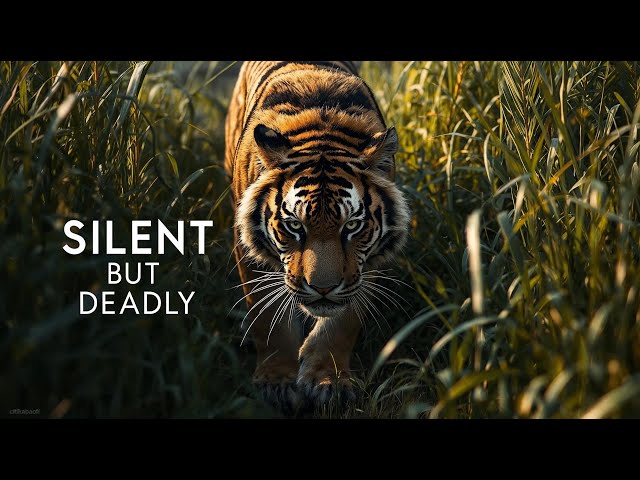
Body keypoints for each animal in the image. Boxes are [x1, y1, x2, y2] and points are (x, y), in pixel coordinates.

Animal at [224, 61, 410, 412]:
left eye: (352, 226)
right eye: (295, 226)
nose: (322, 289)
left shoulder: (366, 262)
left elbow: (343, 321)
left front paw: (328, 380)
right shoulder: (249, 251)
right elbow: (267, 319)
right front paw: (276, 382)